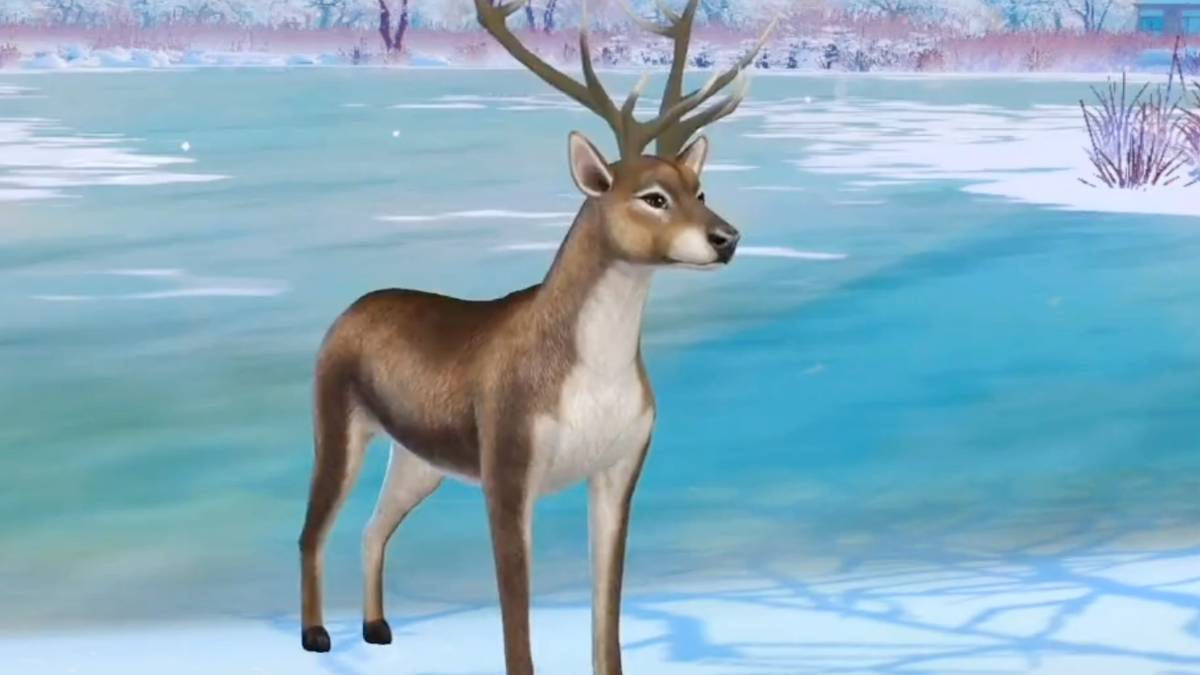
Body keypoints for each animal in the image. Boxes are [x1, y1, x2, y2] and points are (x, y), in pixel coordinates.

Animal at [298, 1, 775, 672]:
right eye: (652, 197)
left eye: (699, 189)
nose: (726, 237)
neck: (592, 377)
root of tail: (349, 310)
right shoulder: (507, 465)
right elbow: (516, 613)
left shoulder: (620, 467)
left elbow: (607, 606)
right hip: (337, 422)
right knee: (312, 528)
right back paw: (316, 635)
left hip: (420, 460)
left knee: (372, 525)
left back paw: (377, 626)